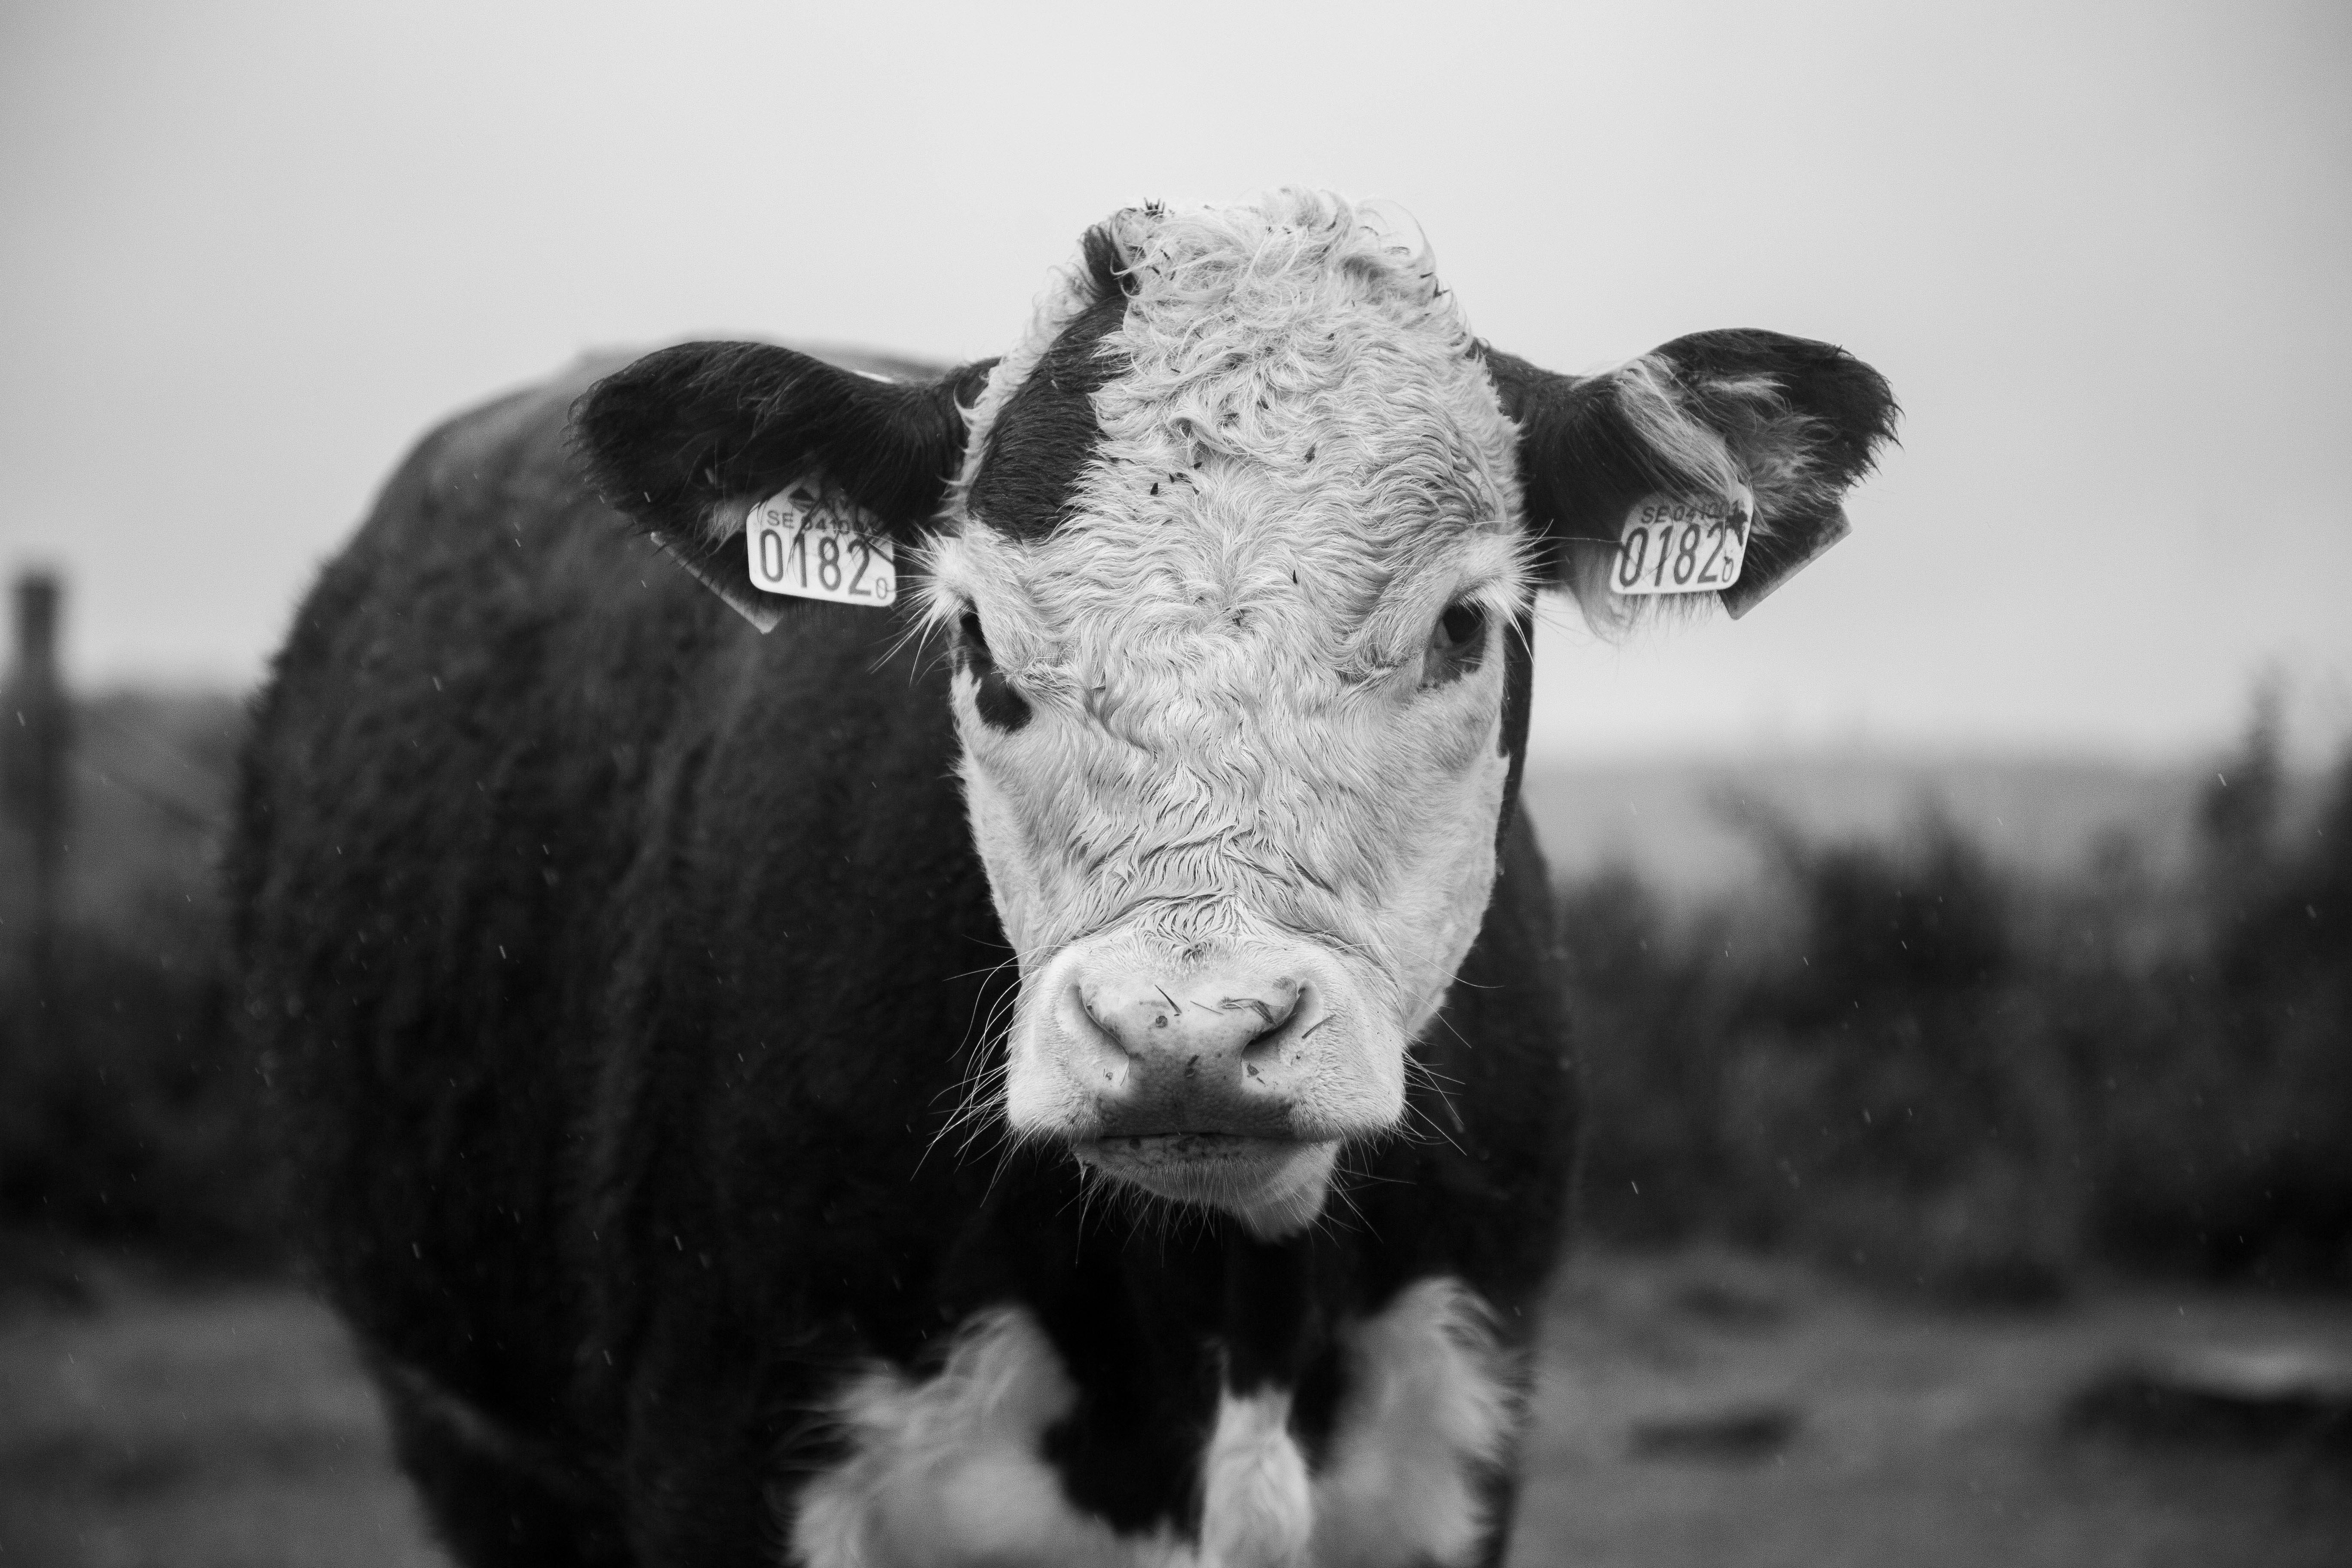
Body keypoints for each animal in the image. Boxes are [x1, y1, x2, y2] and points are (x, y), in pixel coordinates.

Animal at [233, 189, 1894, 1568]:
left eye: (1463, 624)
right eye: (972, 636)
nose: (1191, 1032)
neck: (1218, 1329)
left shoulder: (1456, 1443)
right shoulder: (721, 1445)